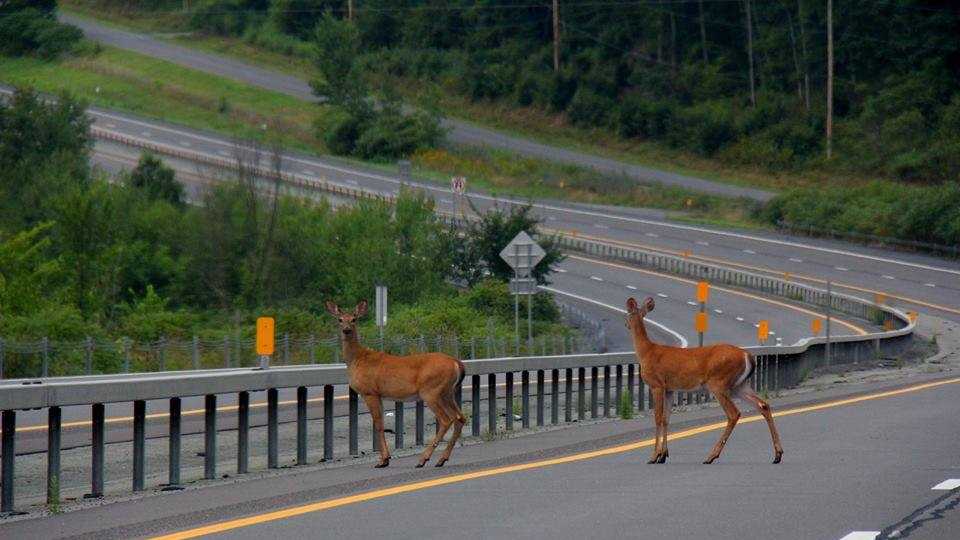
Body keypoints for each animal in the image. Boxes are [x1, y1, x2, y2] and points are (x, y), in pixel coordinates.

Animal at [326, 300, 467, 469]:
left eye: (354, 319)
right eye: (340, 319)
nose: (346, 330)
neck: (357, 359)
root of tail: (456, 363)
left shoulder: (369, 392)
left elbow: (378, 424)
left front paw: (383, 460)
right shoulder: (379, 394)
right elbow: (381, 423)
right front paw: (386, 458)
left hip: (431, 391)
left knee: (446, 420)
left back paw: (423, 459)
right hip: (447, 392)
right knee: (460, 418)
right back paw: (441, 459)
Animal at [625, 297, 783, 465]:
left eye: (627, 315)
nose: (626, 324)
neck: (646, 352)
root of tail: (747, 355)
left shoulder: (656, 384)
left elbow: (657, 418)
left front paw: (654, 456)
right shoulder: (670, 388)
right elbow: (666, 419)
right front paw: (663, 455)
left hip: (719, 383)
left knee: (734, 413)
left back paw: (711, 456)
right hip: (740, 386)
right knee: (763, 405)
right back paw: (777, 455)